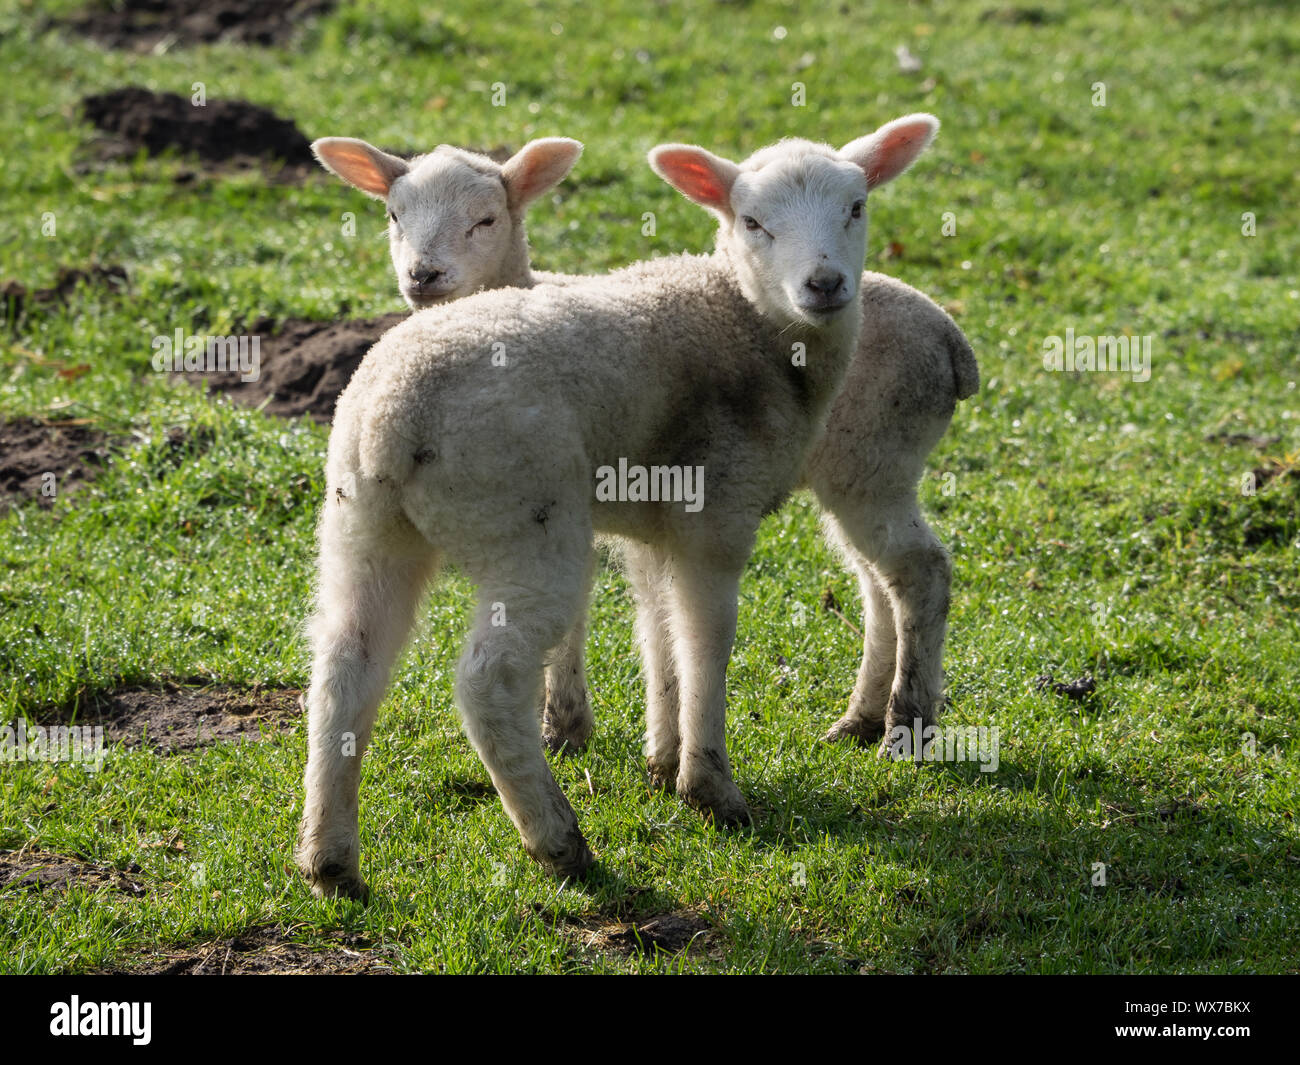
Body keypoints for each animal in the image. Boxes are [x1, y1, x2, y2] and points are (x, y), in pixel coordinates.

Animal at [296, 115, 941, 897]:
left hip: (362, 524)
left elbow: (660, 634)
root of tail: (394, 416)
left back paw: (331, 859)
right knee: (489, 681)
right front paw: (708, 786)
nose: (824, 284)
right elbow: (705, 641)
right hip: (528, 522)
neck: (747, 319)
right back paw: (559, 841)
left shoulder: (656, 519)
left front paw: (662, 760)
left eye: (856, 208)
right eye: (752, 222)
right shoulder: (715, 515)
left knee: (344, 665)